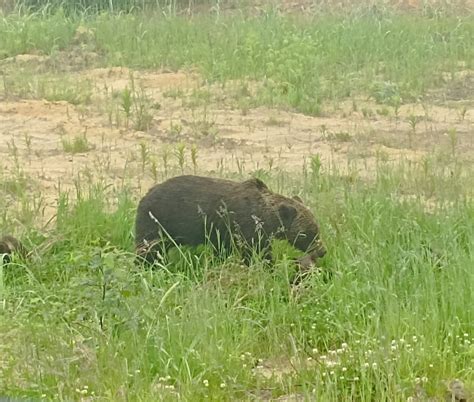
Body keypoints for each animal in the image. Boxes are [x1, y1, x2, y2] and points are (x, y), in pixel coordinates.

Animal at [135, 174, 324, 268]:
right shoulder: (244, 228)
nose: (322, 251)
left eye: (317, 229)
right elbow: (255, 252)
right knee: (147, 249)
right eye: (307, 233)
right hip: (158, 222)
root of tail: (145, 195)